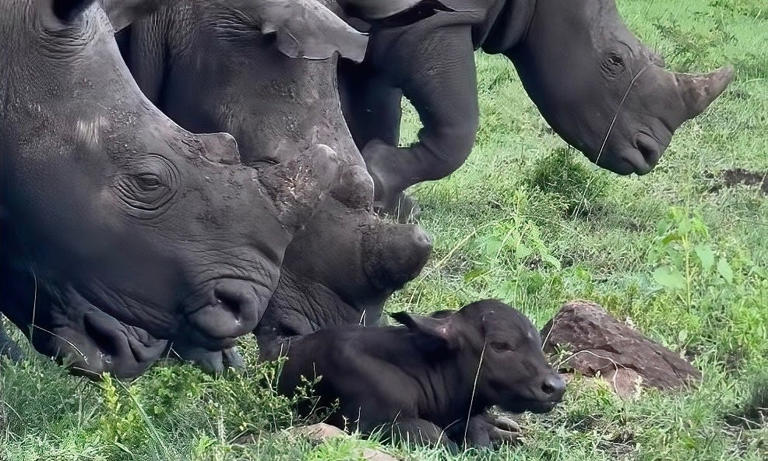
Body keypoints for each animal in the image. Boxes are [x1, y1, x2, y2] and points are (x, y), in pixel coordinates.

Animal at [338, 0, 734, 217]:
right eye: (614, 61)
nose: (650, 152)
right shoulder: (433, 20)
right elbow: (458, 130)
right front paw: (376, 179)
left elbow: (375, 112)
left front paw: (384, 201)